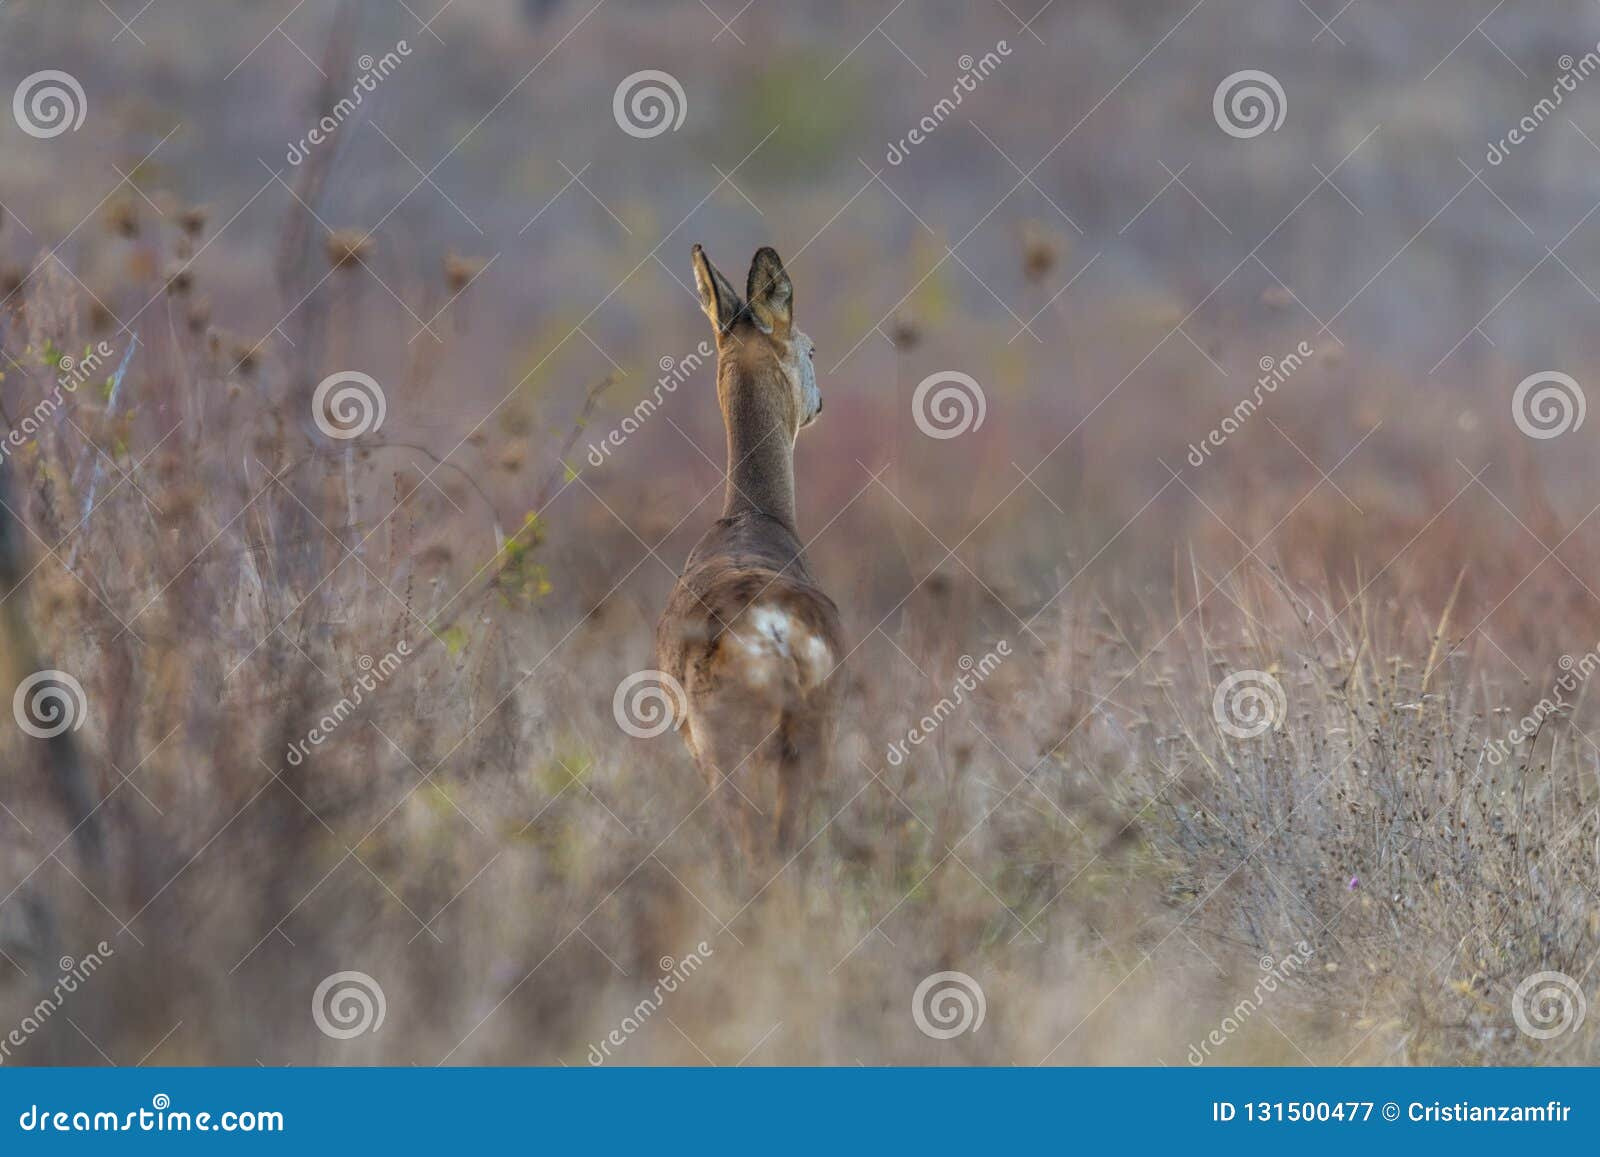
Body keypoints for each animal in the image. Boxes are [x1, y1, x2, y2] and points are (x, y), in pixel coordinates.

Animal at [654, 244, 845, 865]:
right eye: (812, 347)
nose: (820, 400)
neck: (757, 519)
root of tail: (779, 635)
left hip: (729, 748)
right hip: (808, 736)